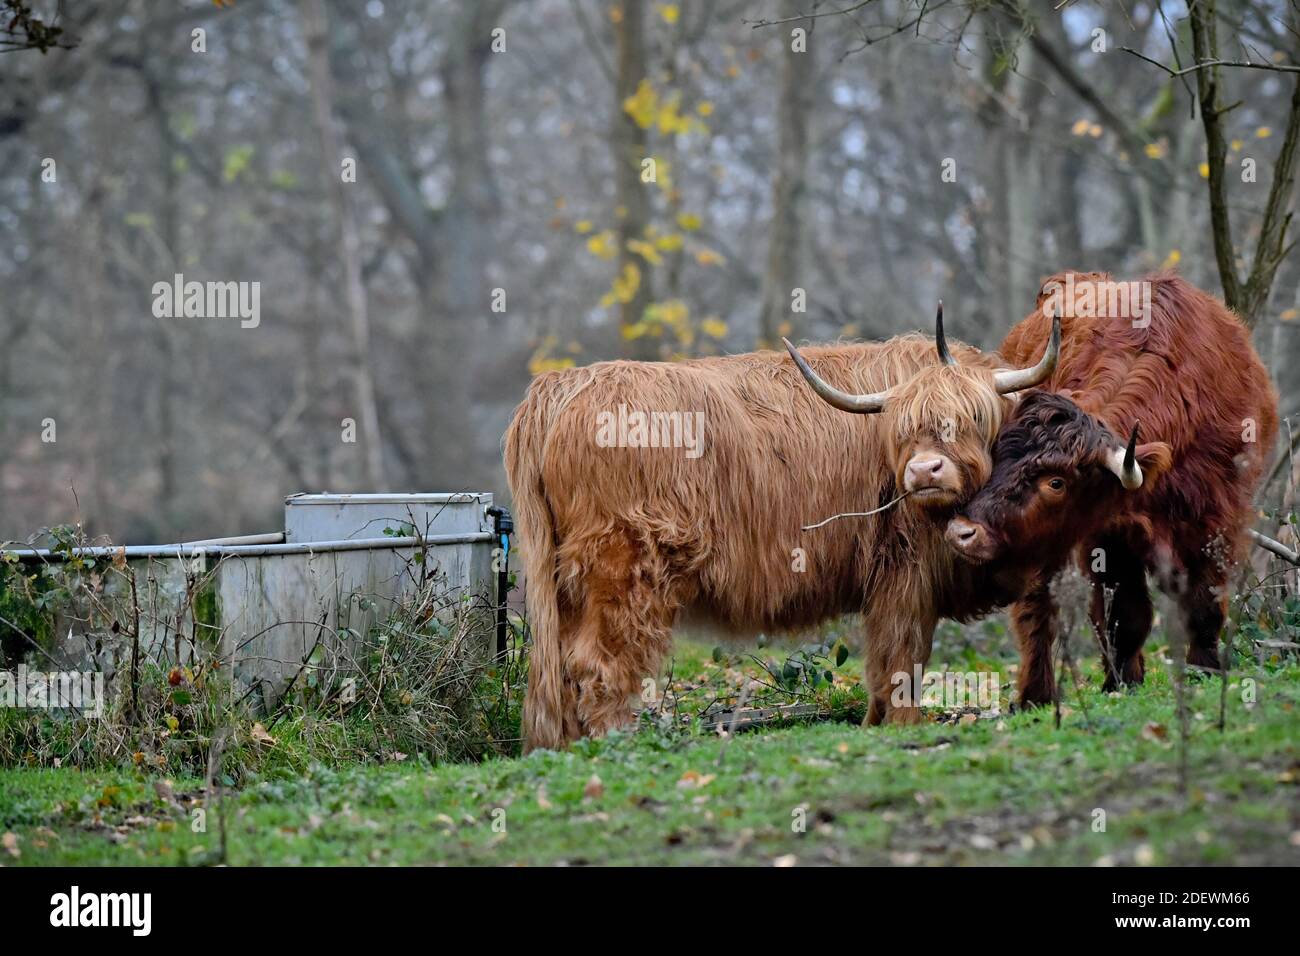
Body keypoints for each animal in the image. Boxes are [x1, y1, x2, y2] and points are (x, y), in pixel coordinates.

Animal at [505, 307, 1059, 750]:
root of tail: (560, 387)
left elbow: (883, 659)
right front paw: (904, 727)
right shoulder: (907, 572)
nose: (924, 472)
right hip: (622, 567)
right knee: (596, 662)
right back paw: (614, 741)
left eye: (972, 419)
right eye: (902, 432)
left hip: (565, 580)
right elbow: (904, 655)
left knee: (558, 666)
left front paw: (874, 723)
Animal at [944, 271, 1278, 705]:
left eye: (1056, 482)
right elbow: (1125, 613)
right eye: (995, 455)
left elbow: (1205, 603)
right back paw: (1036, 694)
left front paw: (1204, 671)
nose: (962, 532)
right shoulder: (1109, 536)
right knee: (1037, 609)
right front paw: (1122, 682)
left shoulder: (1219, 520)